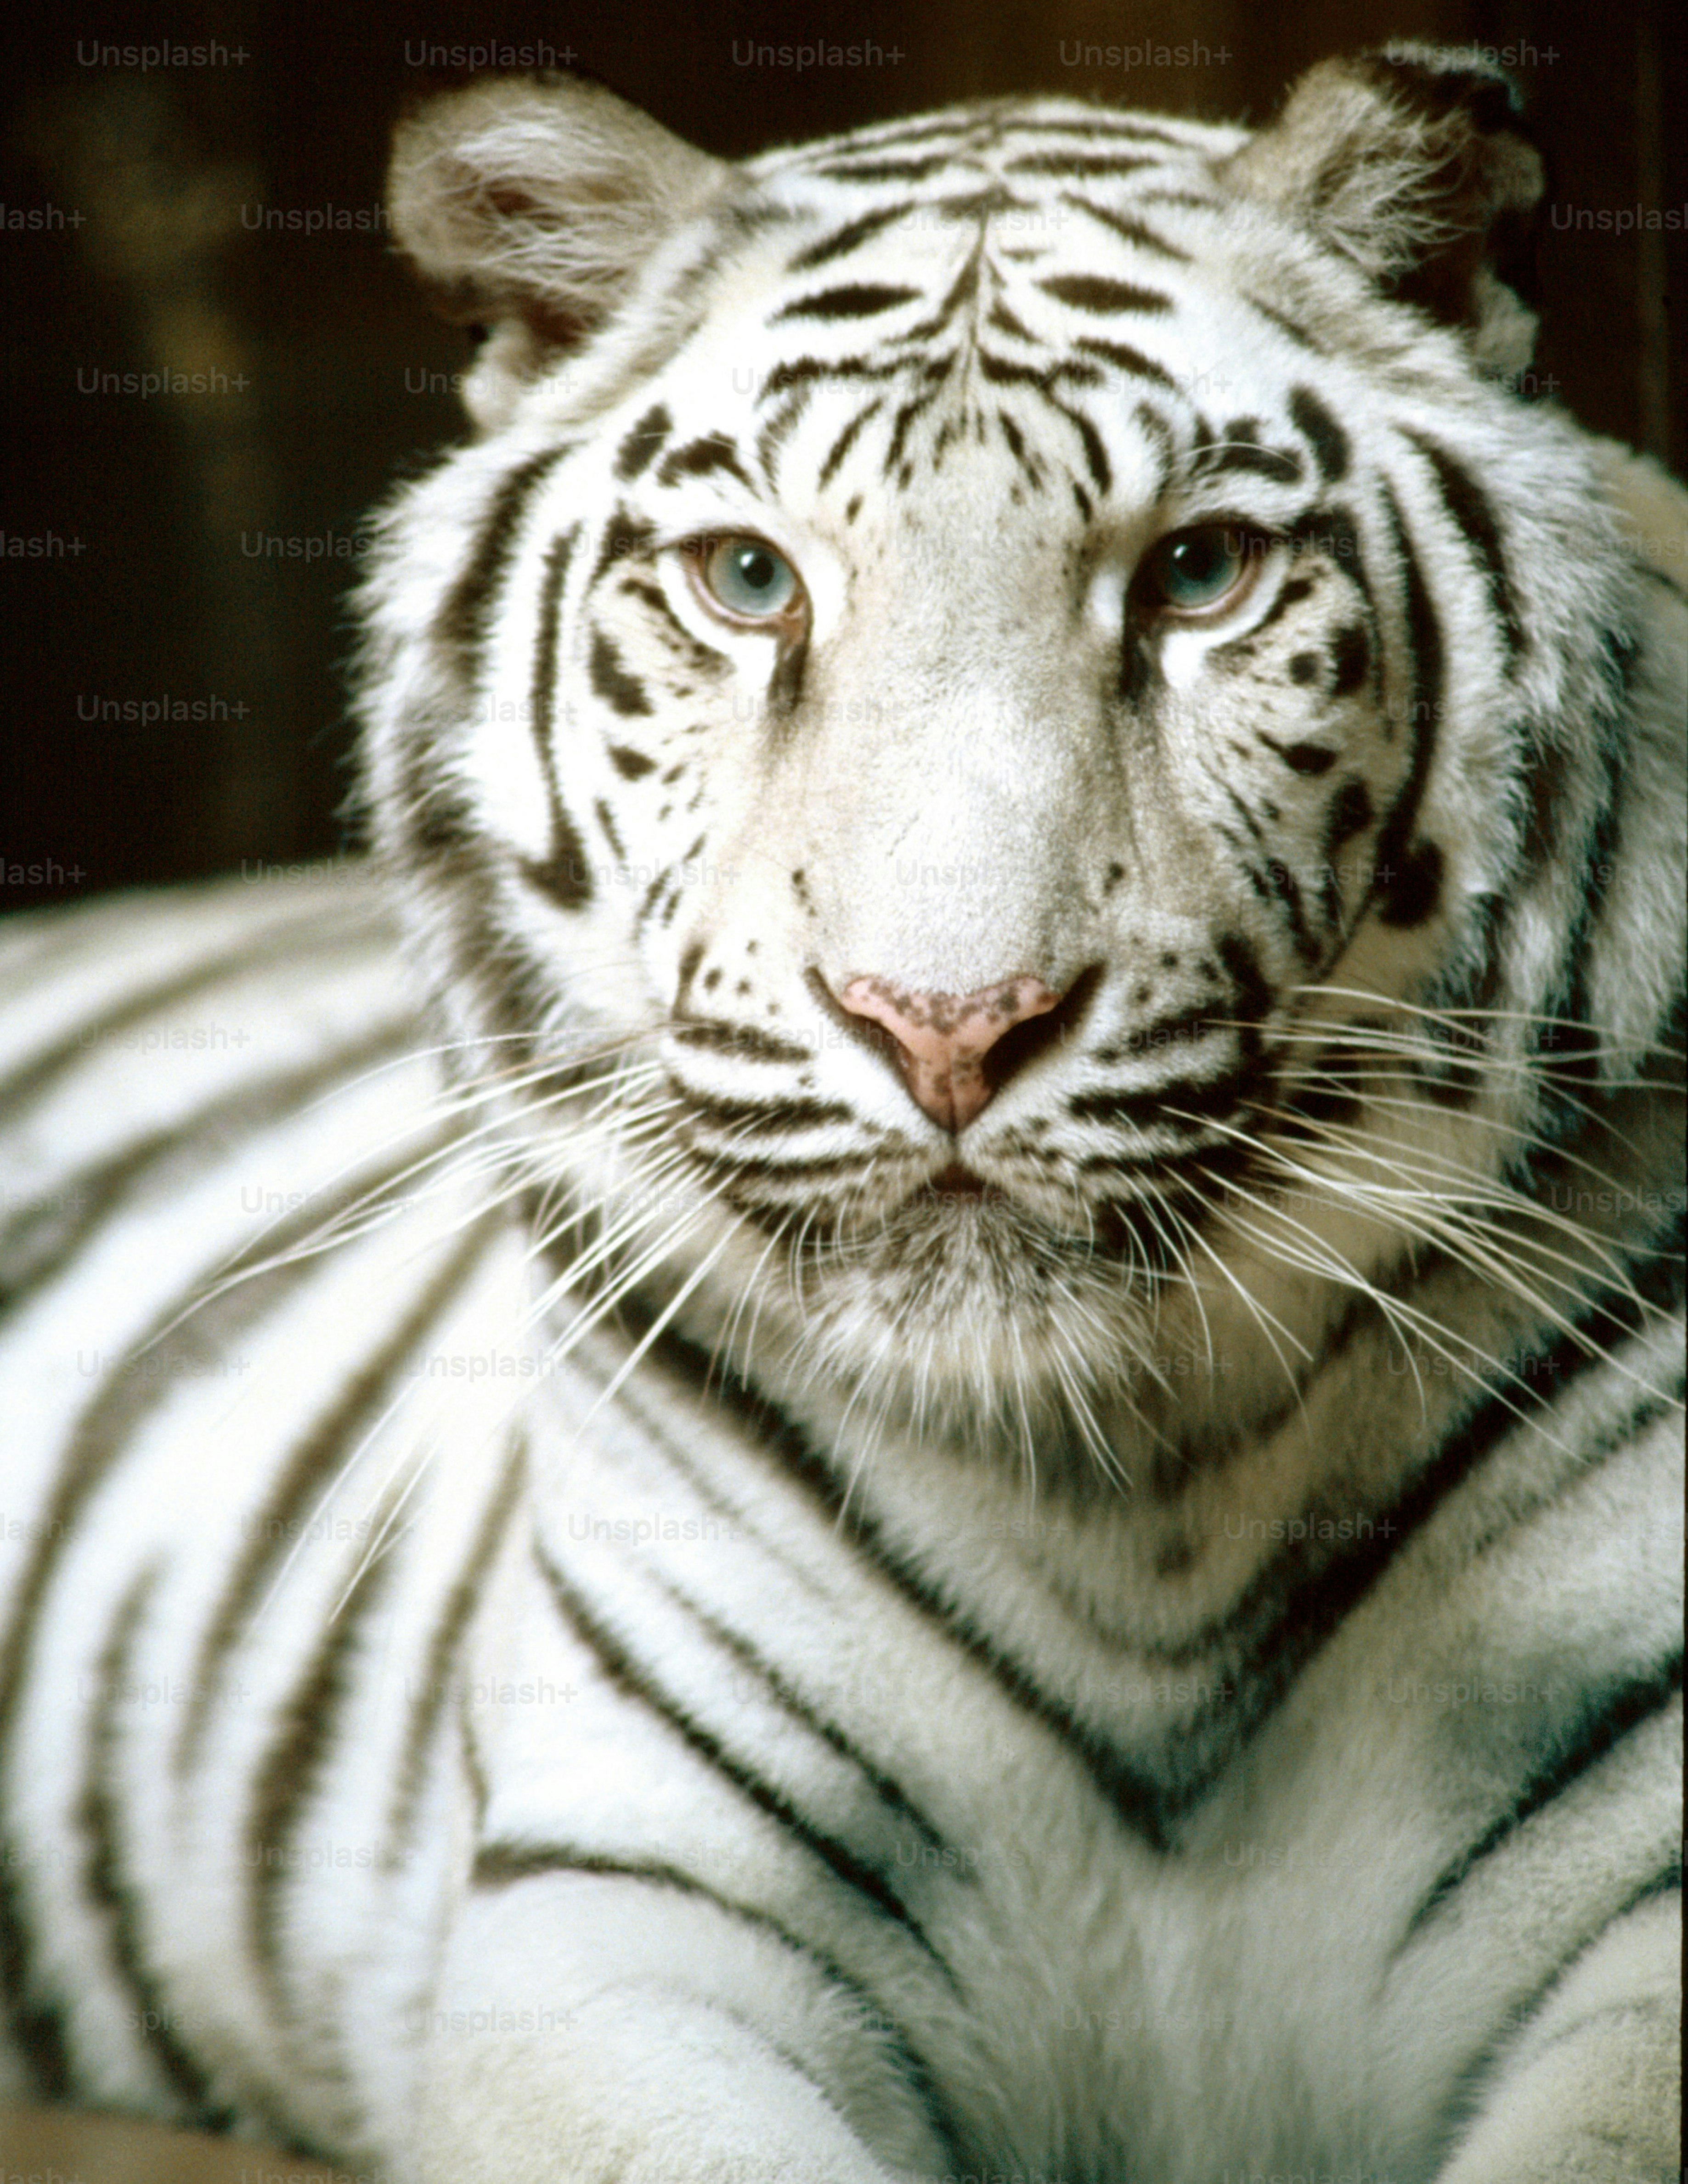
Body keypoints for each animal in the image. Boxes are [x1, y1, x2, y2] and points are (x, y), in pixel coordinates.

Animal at [0, 40, 1682, 2184]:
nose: (948, 1024)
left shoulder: (1646, 1901)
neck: (1130, 1508)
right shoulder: (628, 1917)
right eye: (748, 581)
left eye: (1197, 573)